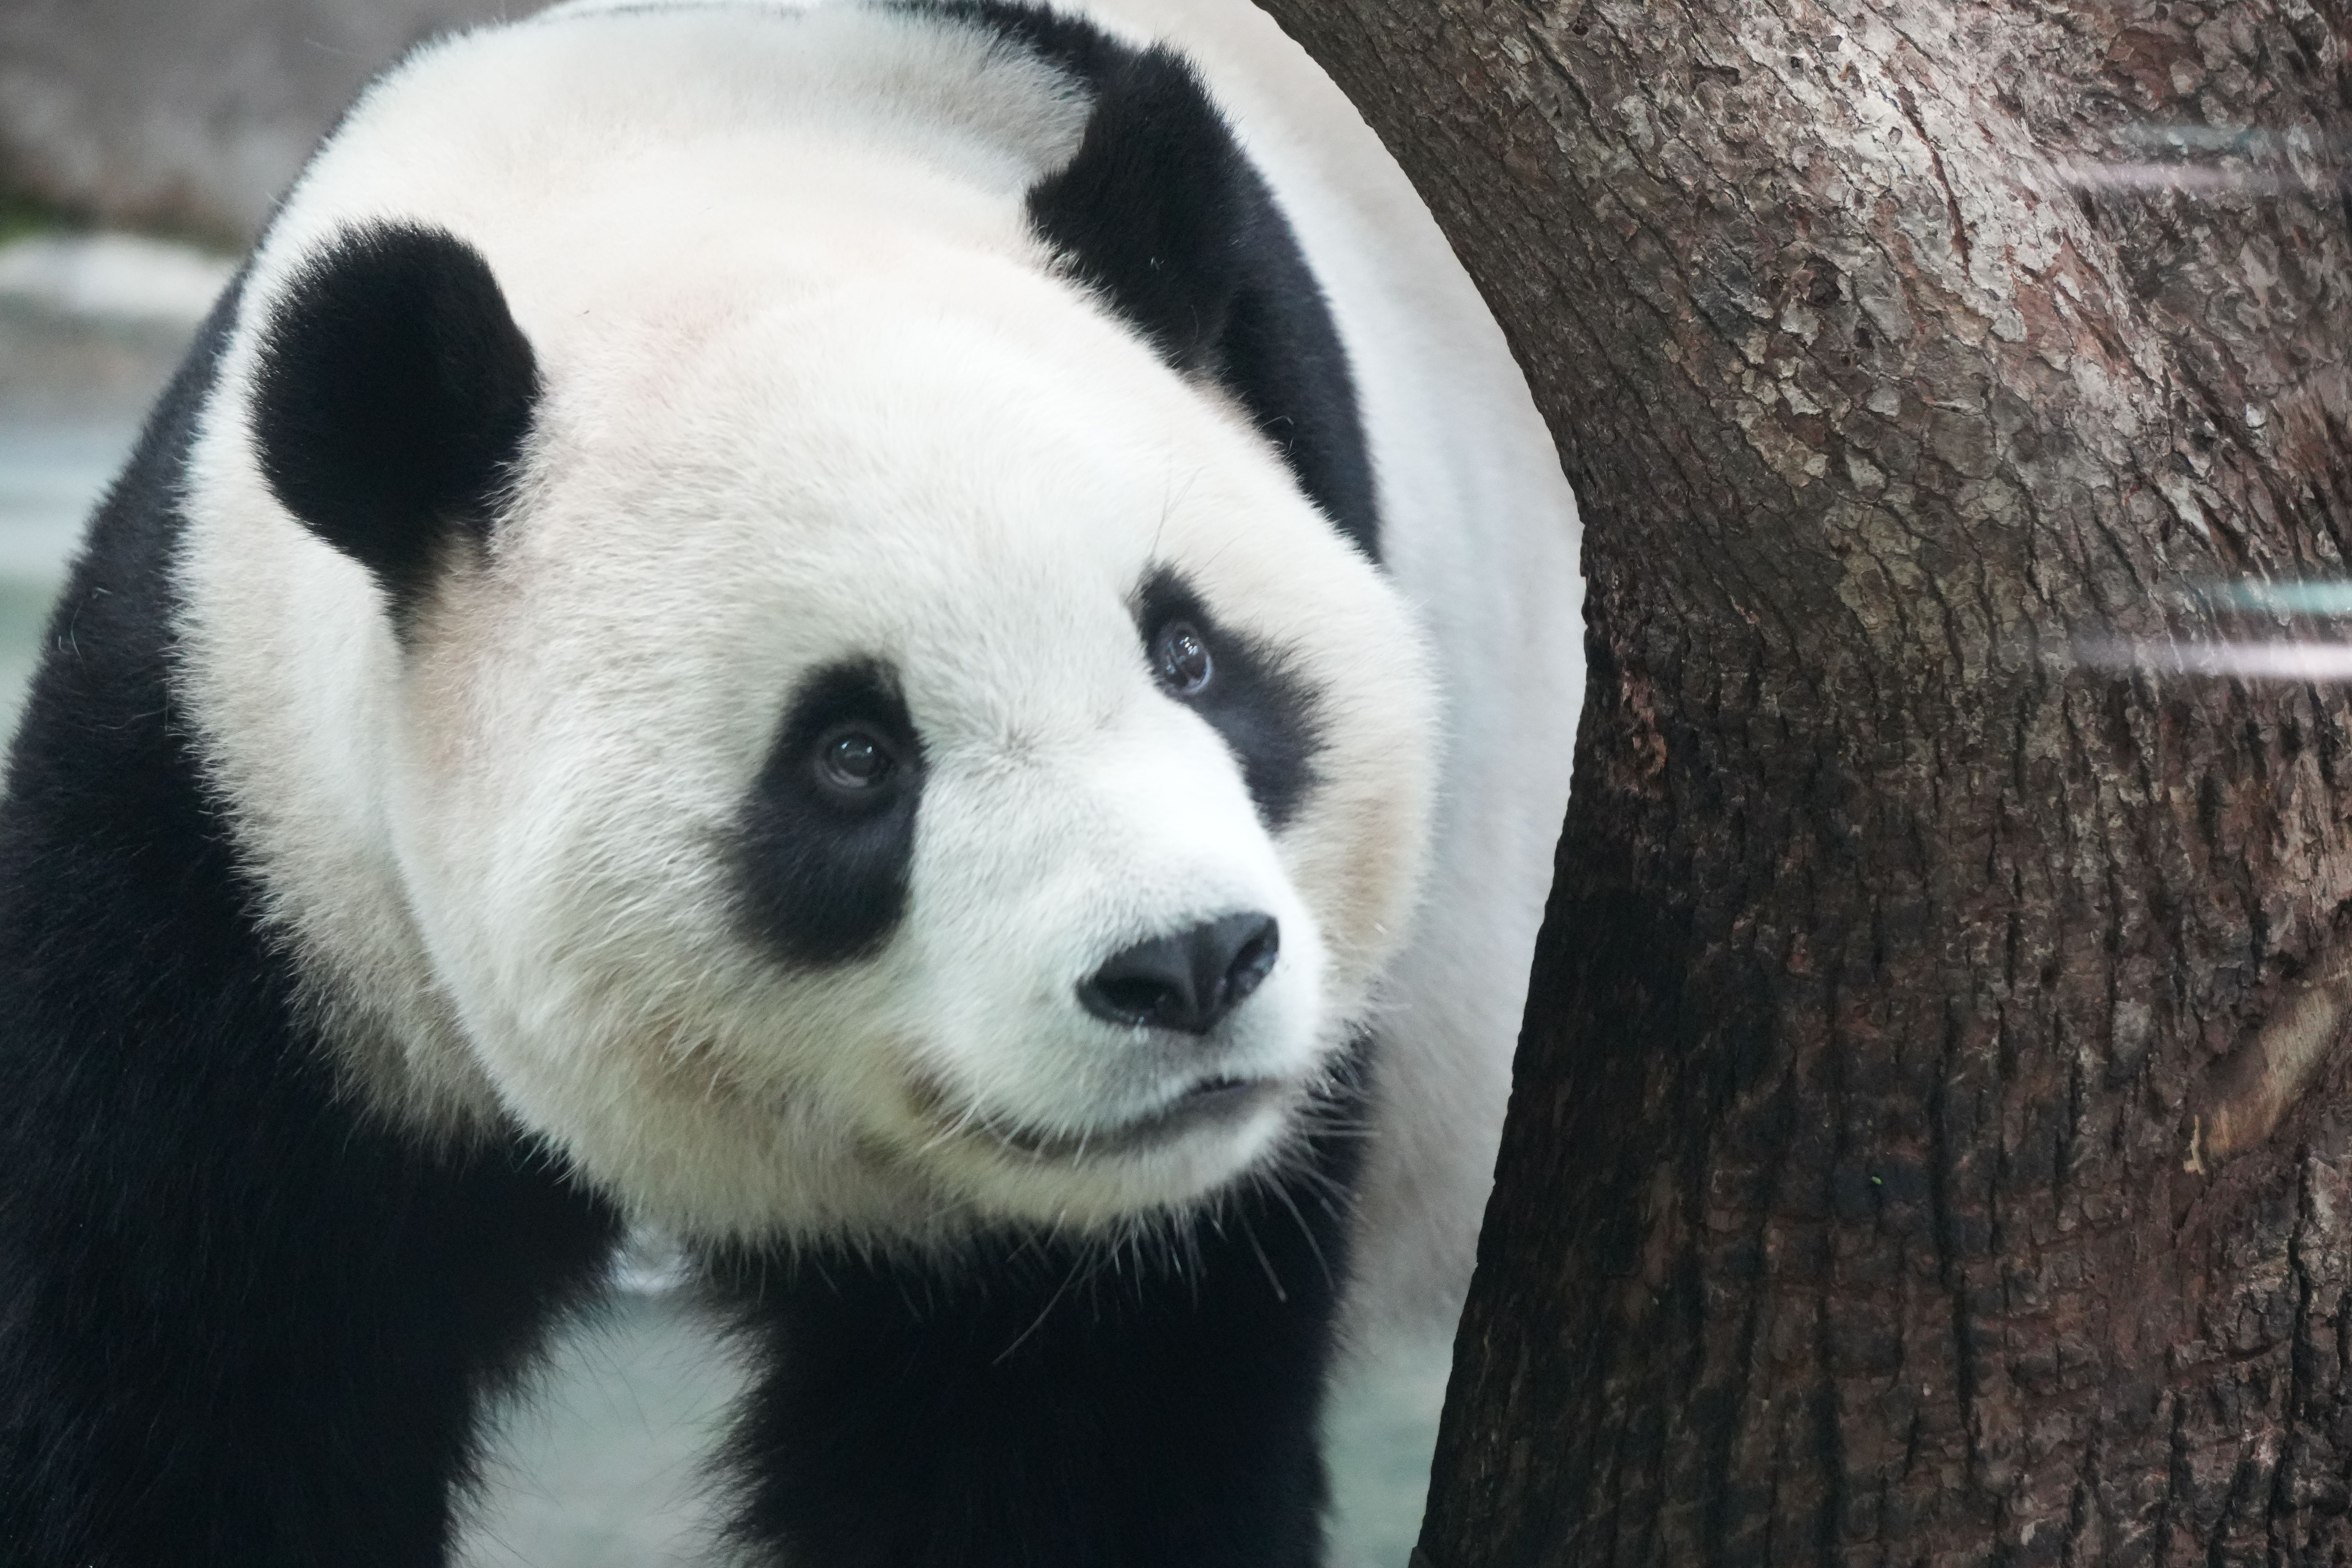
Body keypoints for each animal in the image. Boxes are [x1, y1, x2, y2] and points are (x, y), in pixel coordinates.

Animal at [0, 0, 1581, 1563]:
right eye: (852, 754)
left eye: (1188, 655)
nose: (1186, 964)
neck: (694, 159)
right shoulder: (239, 846)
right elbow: (184, 1376)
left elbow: (1068, 1447)